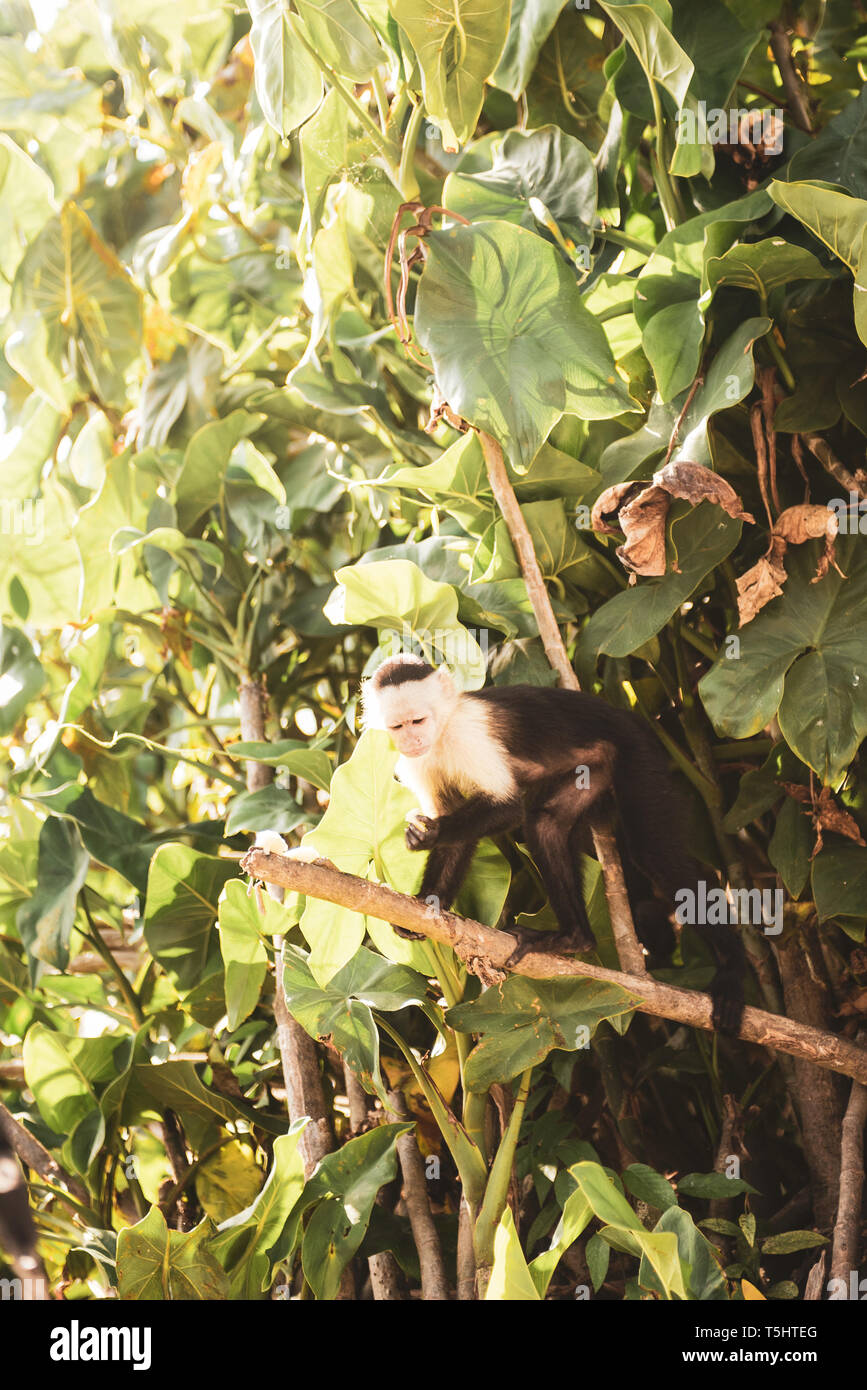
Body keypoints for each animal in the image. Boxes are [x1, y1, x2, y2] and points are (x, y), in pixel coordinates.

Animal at [362, 654, 745, 1034]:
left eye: (418, 720)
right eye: (398, 727)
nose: (413, 740)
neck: (441, 733)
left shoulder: (469, 735)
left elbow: (506, 807)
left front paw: (430, 834)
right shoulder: (418, 762)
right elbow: (458, 840)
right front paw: (428, 902)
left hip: (638, 752)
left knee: (653, 853)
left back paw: (731, 967)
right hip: (592, 768)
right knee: (545, 825)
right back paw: (574, 938)